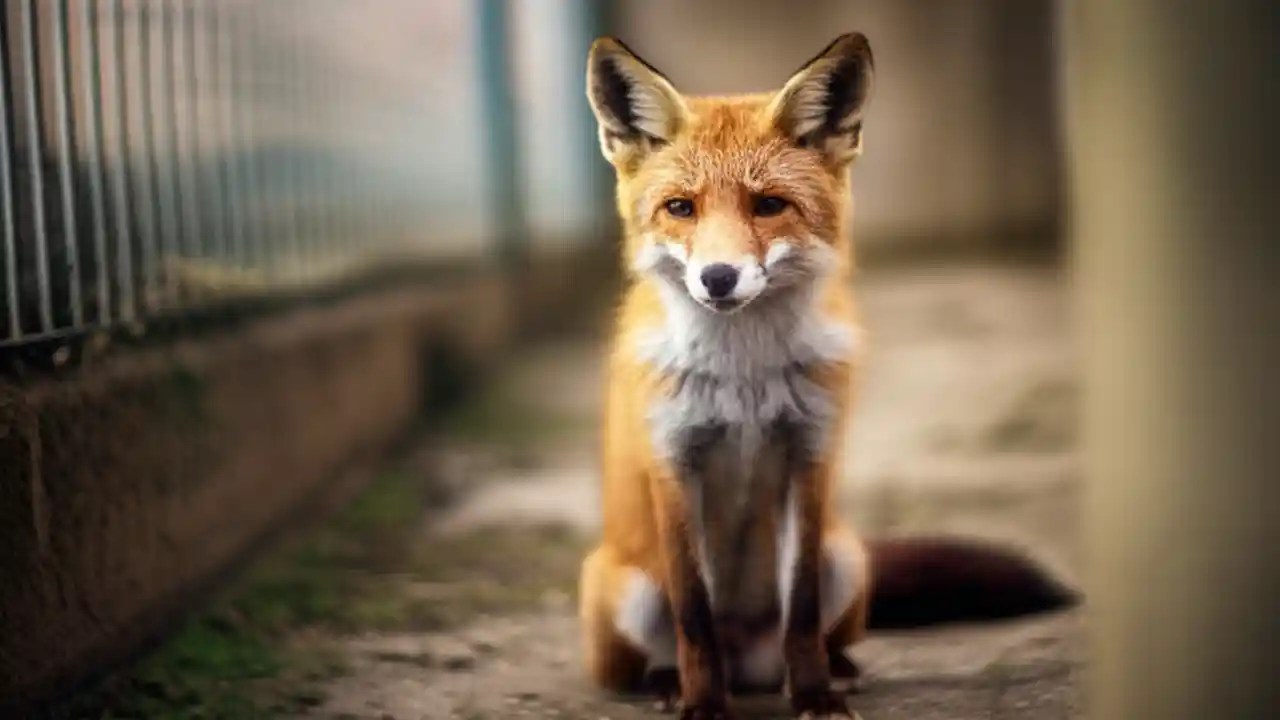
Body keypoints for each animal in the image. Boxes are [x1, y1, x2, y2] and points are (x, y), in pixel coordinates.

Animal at [578, 34, 1076, 720]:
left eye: (769, 205)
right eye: (680, 208)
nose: (718, 279)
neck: (744, 378)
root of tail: (749, 667)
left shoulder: (808, 457)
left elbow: (803, 609)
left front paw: (815, 696)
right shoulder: (675, 467)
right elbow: (695, 615)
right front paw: (703, 704)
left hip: (848, 557)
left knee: (818, 631)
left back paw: (837, 669)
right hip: (630, 590)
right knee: (663, 648)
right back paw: (667, 681)